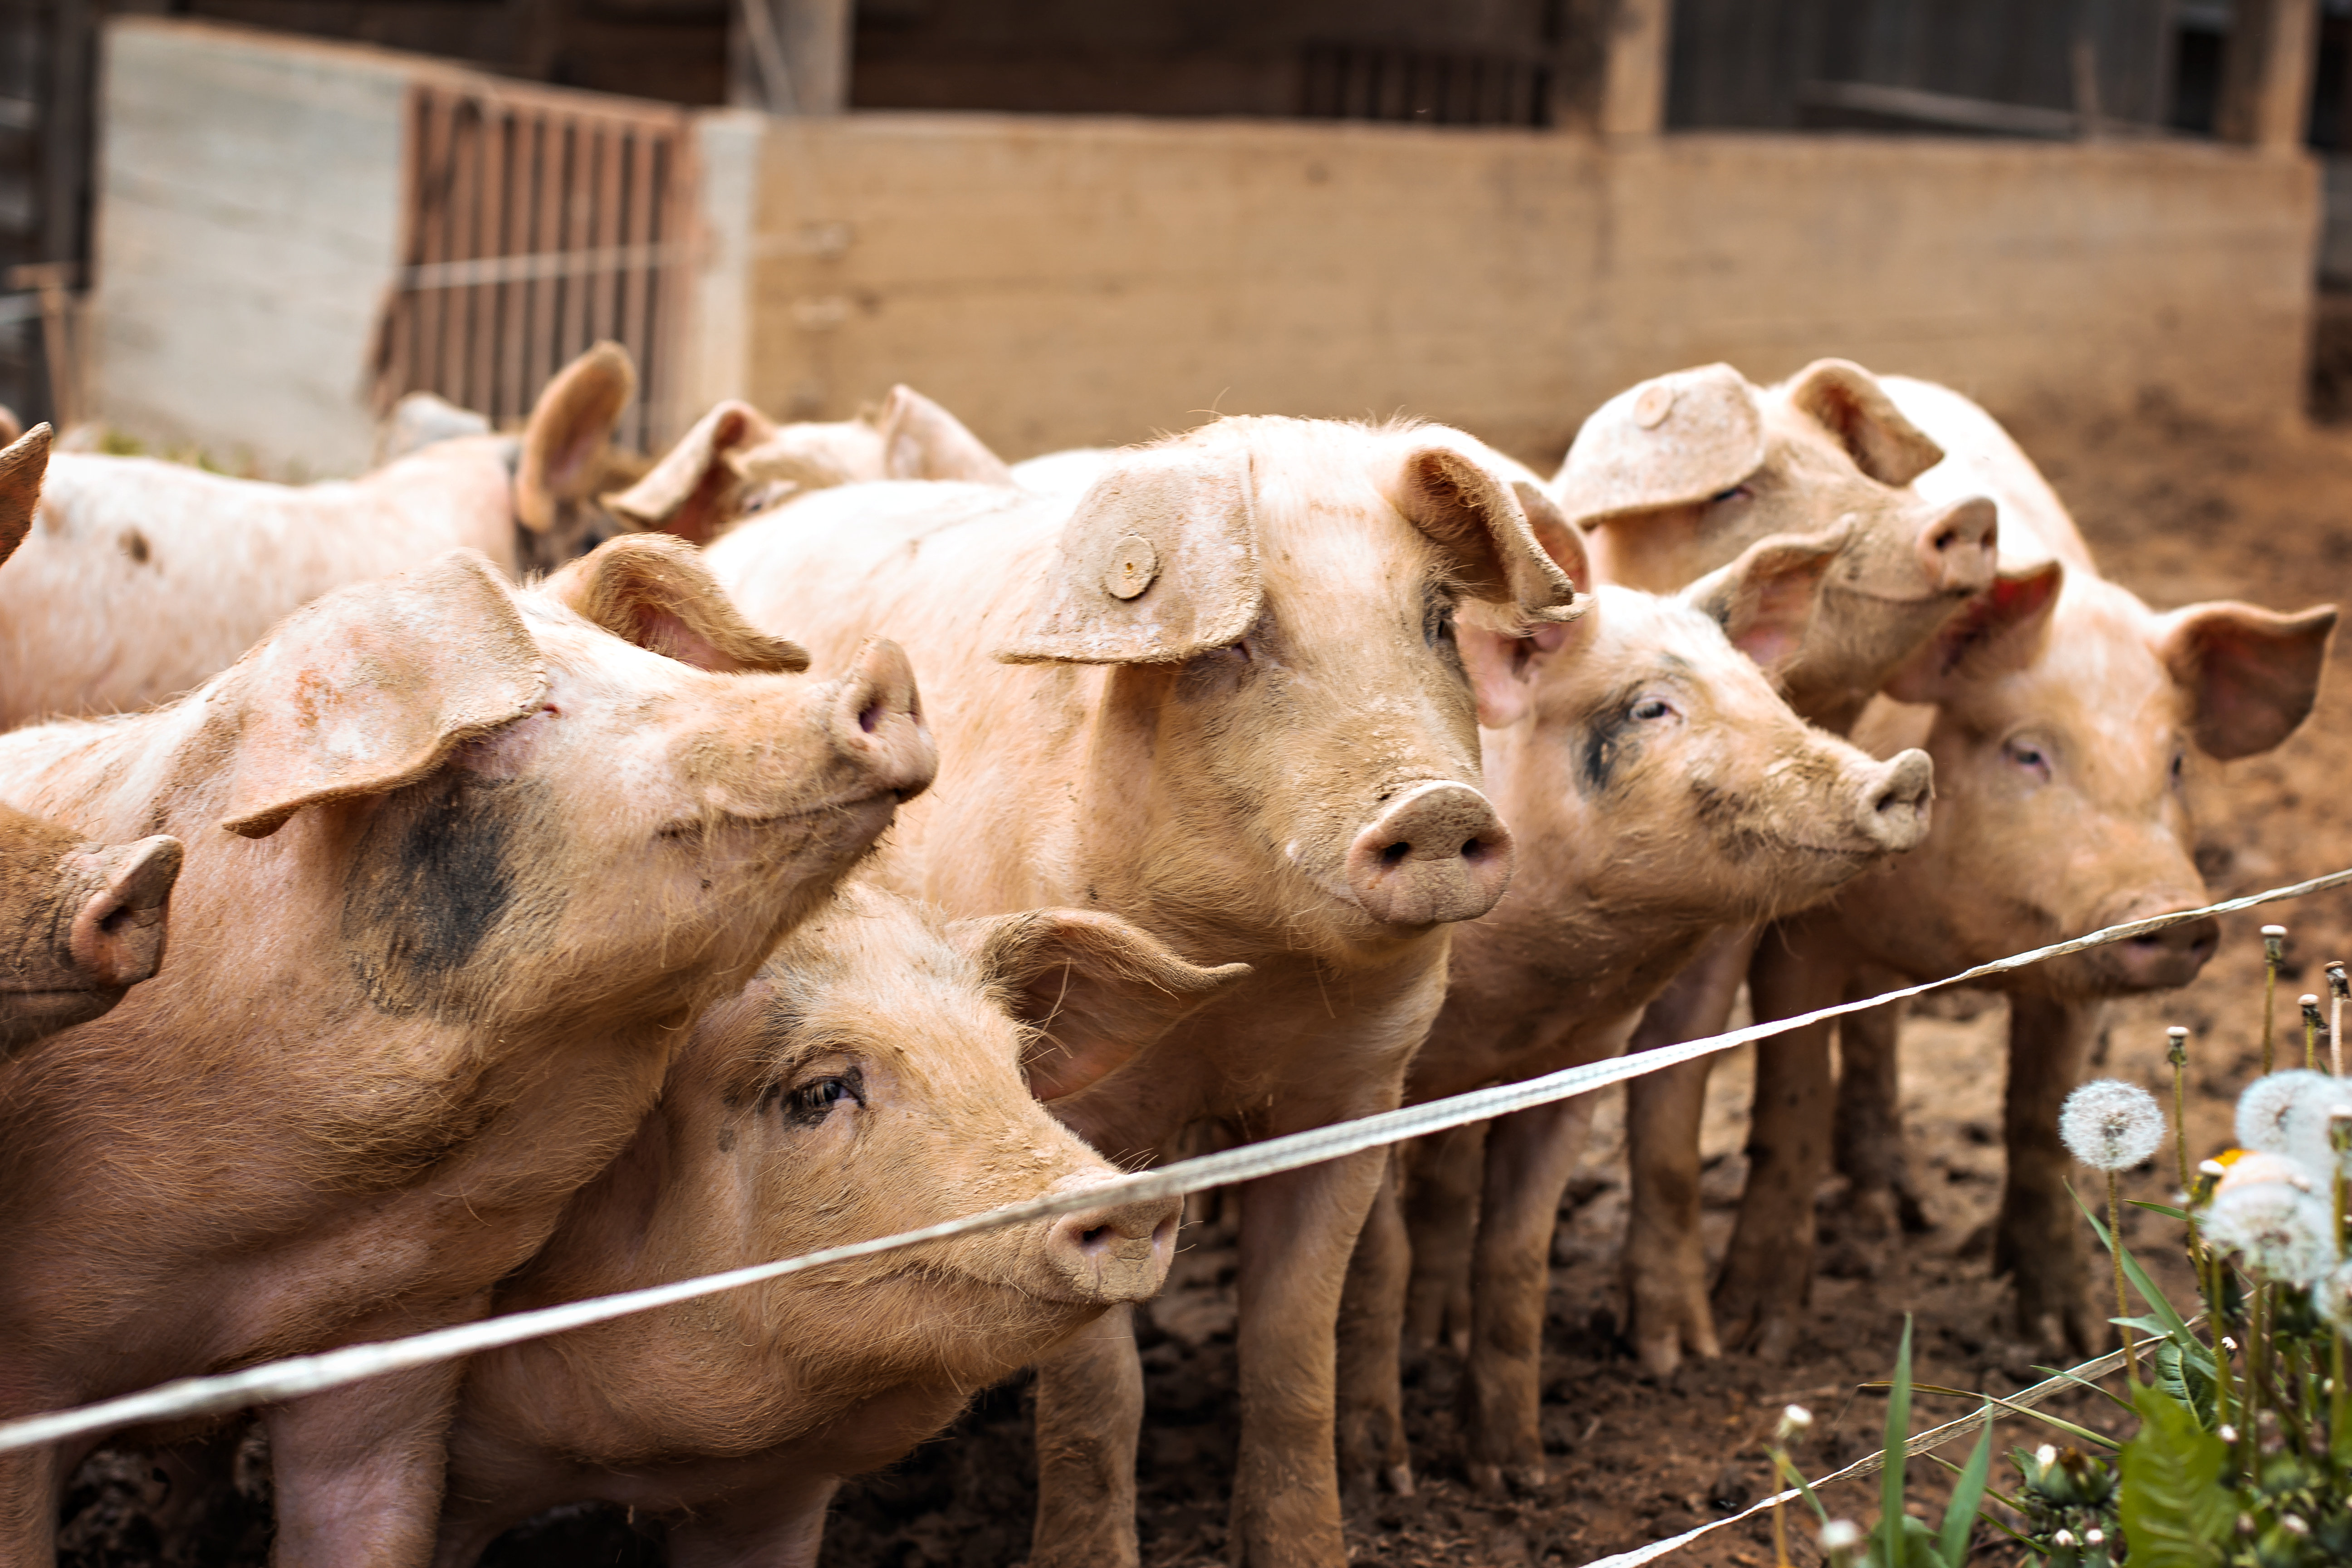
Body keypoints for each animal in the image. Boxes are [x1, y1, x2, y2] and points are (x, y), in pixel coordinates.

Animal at [704, 415, 1582, 1568]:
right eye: (1234, 646)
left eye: (1438, 621)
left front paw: (1311, 1547)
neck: (1245, 990)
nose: (1436, 806)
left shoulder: (1352, 1097)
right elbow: (1100, 1392)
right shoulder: (1073, 1113)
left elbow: (1291, 1343)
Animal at [1334, 524, 1935, 1497]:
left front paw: (1515, 1476)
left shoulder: (1576, 1060)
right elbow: (1372, 1256)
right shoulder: (1364, 1078)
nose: (1905, 772)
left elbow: (1517, 1250)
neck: (1519, 999)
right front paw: (1380, 1482)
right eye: (1651, 708)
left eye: (1762, 690)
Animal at [1548, 359, 2003, 1375]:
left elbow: (1675, 1114)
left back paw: (1893, 1214)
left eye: (1855, 467)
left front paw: (1688, 1354)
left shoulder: (1726, 943)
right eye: (1734, 491)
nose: (1965, 513)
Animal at [1706, 379, 2336, 1355]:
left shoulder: (2074, 958)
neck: (1954, 944)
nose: (2172, 914)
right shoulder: (1799, 931)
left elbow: (2041, 1123)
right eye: (2026, 752)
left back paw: (1905, 1207)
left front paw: (2069, 1337)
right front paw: (1755, 1334)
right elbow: (1791, 1098)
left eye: (2176, 761)